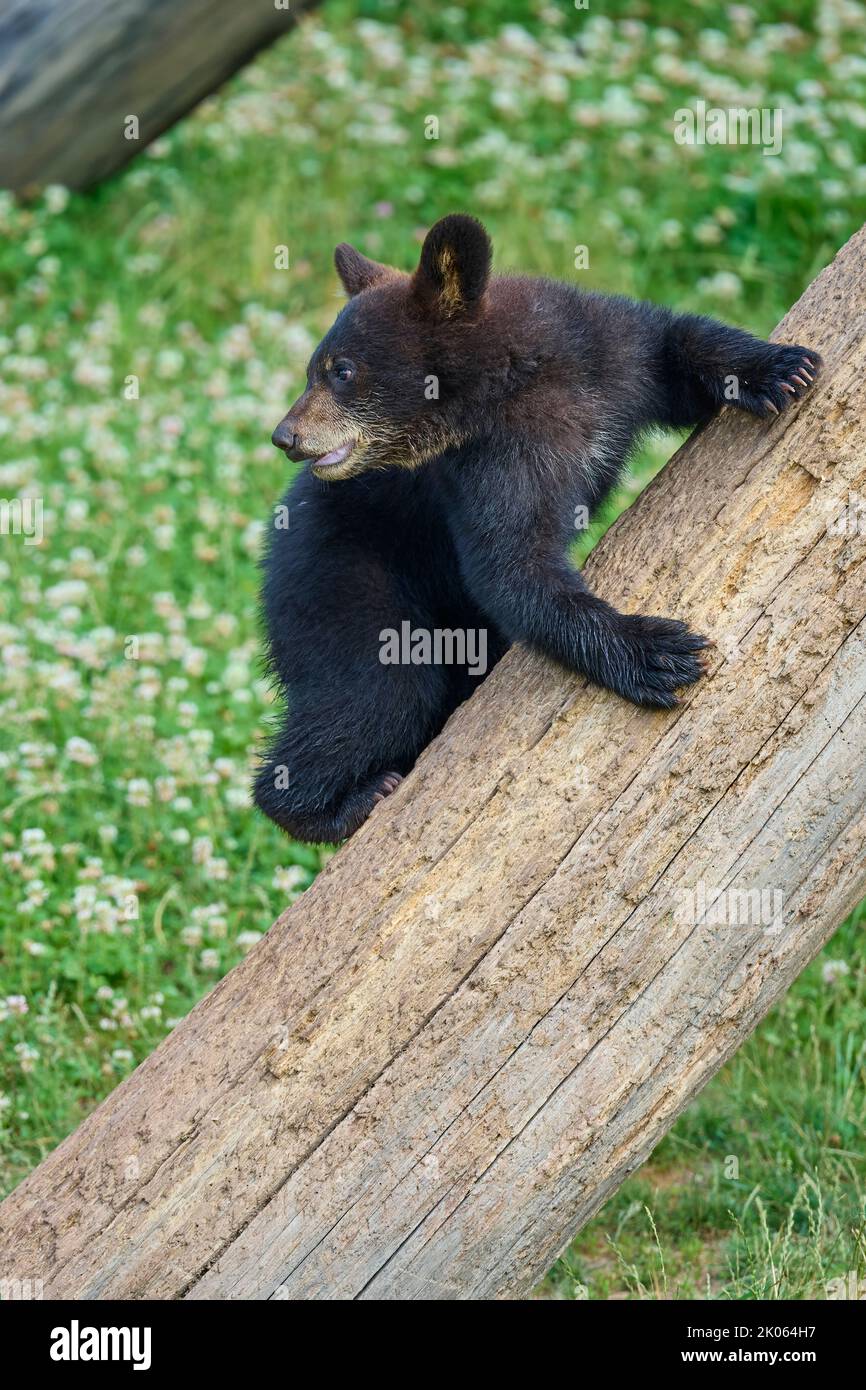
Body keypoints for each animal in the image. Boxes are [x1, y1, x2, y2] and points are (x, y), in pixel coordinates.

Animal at [254, 213, 821, 844]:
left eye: (340, 371)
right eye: (316, 368)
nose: (284, 435)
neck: (517, 378)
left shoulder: (599, 352)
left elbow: (673, 342)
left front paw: (777, 368)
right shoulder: (491, 463)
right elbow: (512, 565)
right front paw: (652, 650)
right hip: (341, 577)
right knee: (379, 690)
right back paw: (342, 802)